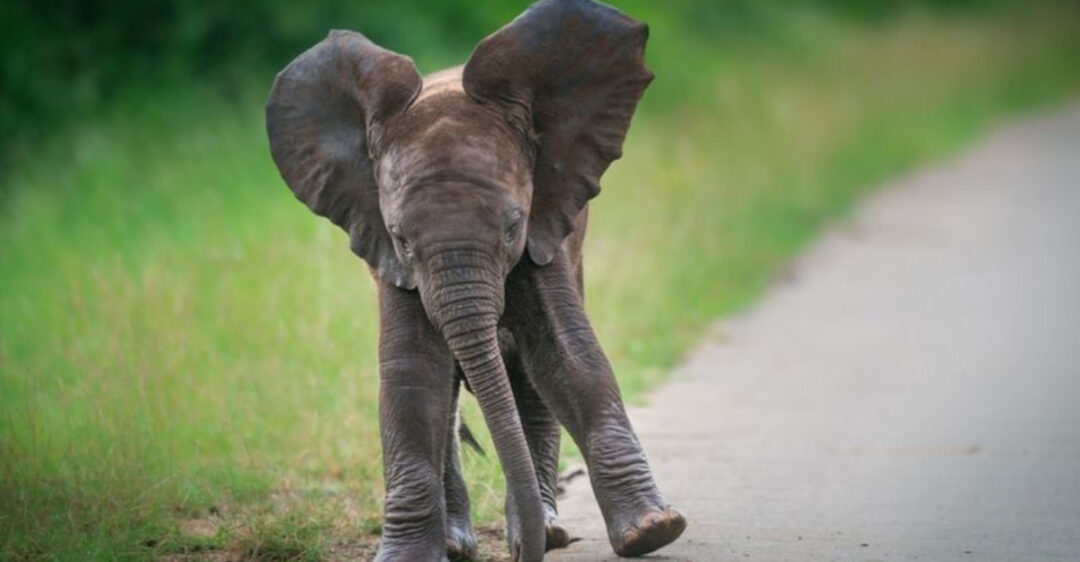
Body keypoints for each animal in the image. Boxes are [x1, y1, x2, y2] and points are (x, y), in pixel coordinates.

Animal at [265, 1, 685, 560]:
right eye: (401, 239)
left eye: (512, 226)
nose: (522, 552)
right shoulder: (386, 253)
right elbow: (413, 373)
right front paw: (405, 556)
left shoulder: (544, 227)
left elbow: (566, 355)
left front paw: (653, 532)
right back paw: (458, 542)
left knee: (526, 377)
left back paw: (545, 531)